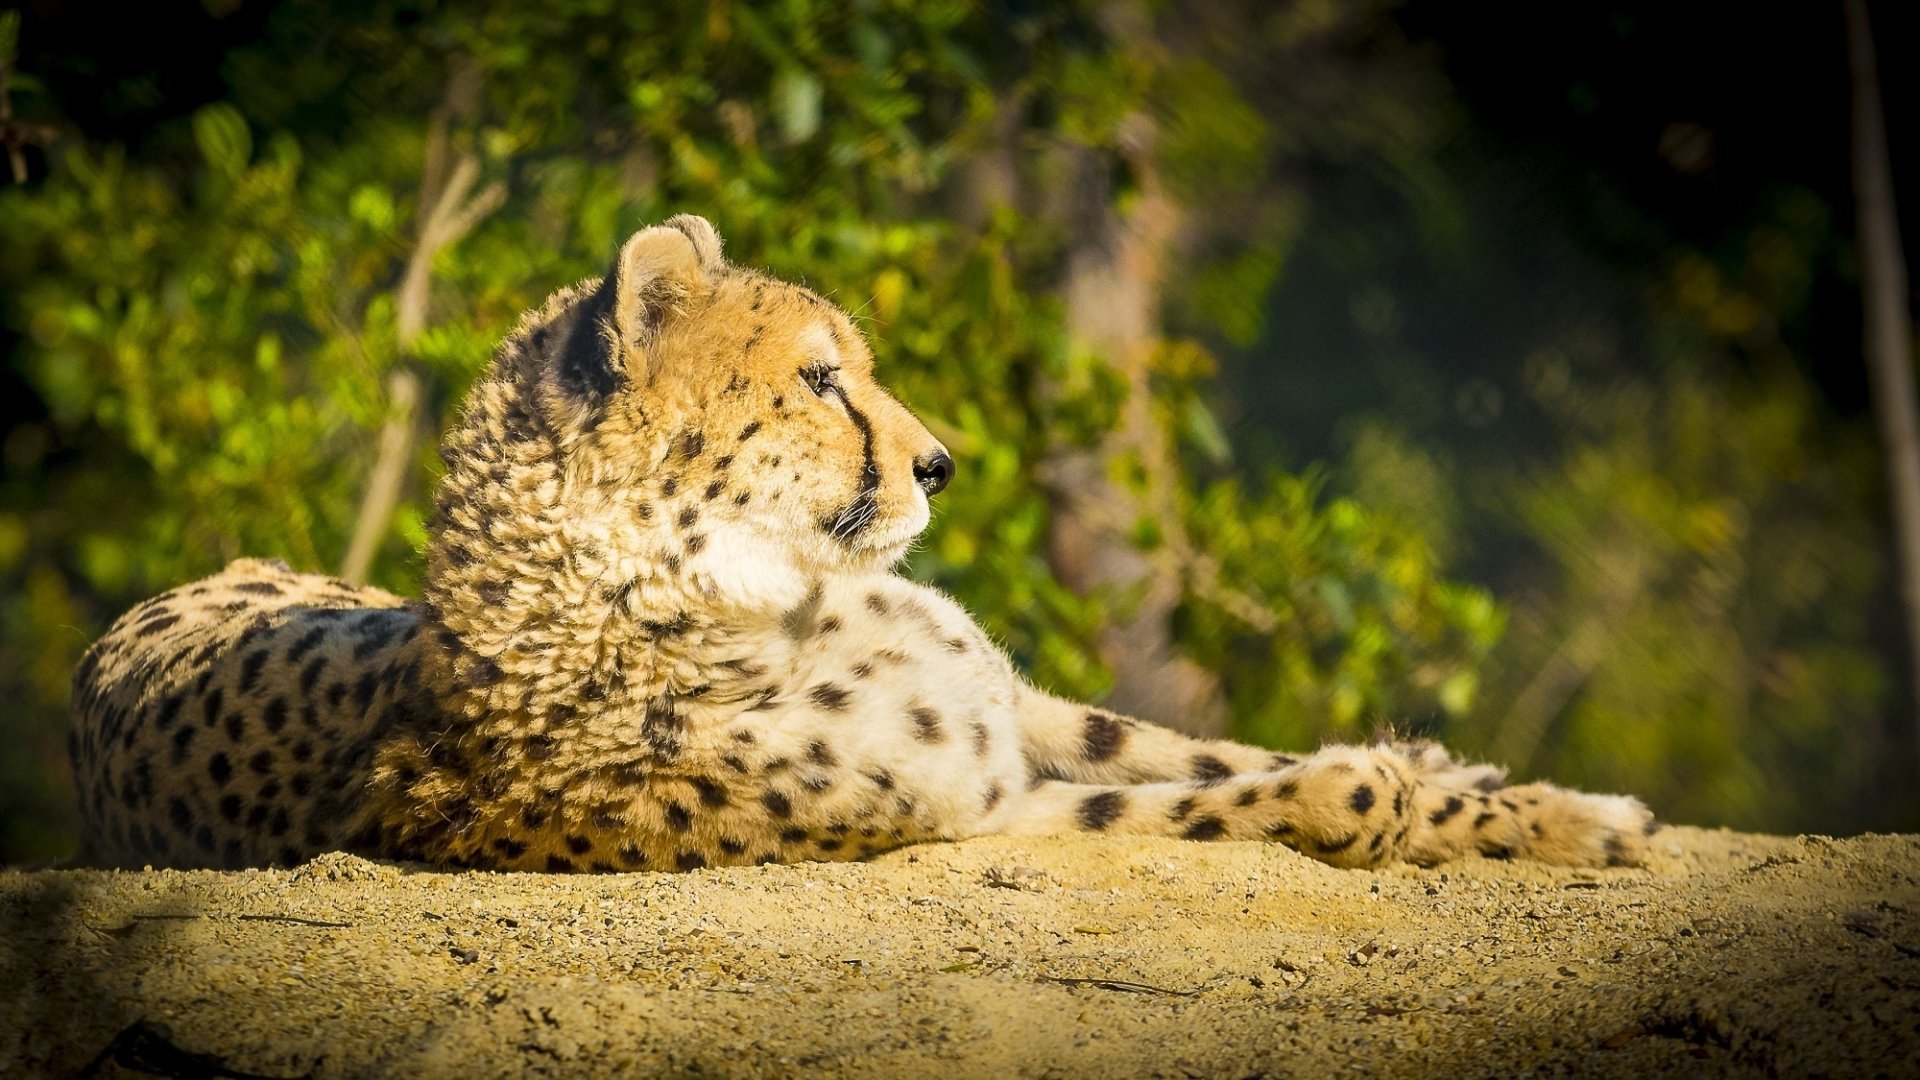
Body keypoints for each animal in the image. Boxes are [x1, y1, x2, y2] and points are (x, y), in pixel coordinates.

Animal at [68, 215, 1656, 874]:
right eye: (823, 379)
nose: (943, 462)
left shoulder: (1015, 707)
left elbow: (1201, 750)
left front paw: (1533, 800)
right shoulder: (964, 811)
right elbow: (1224, 803)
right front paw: (1390, 796)